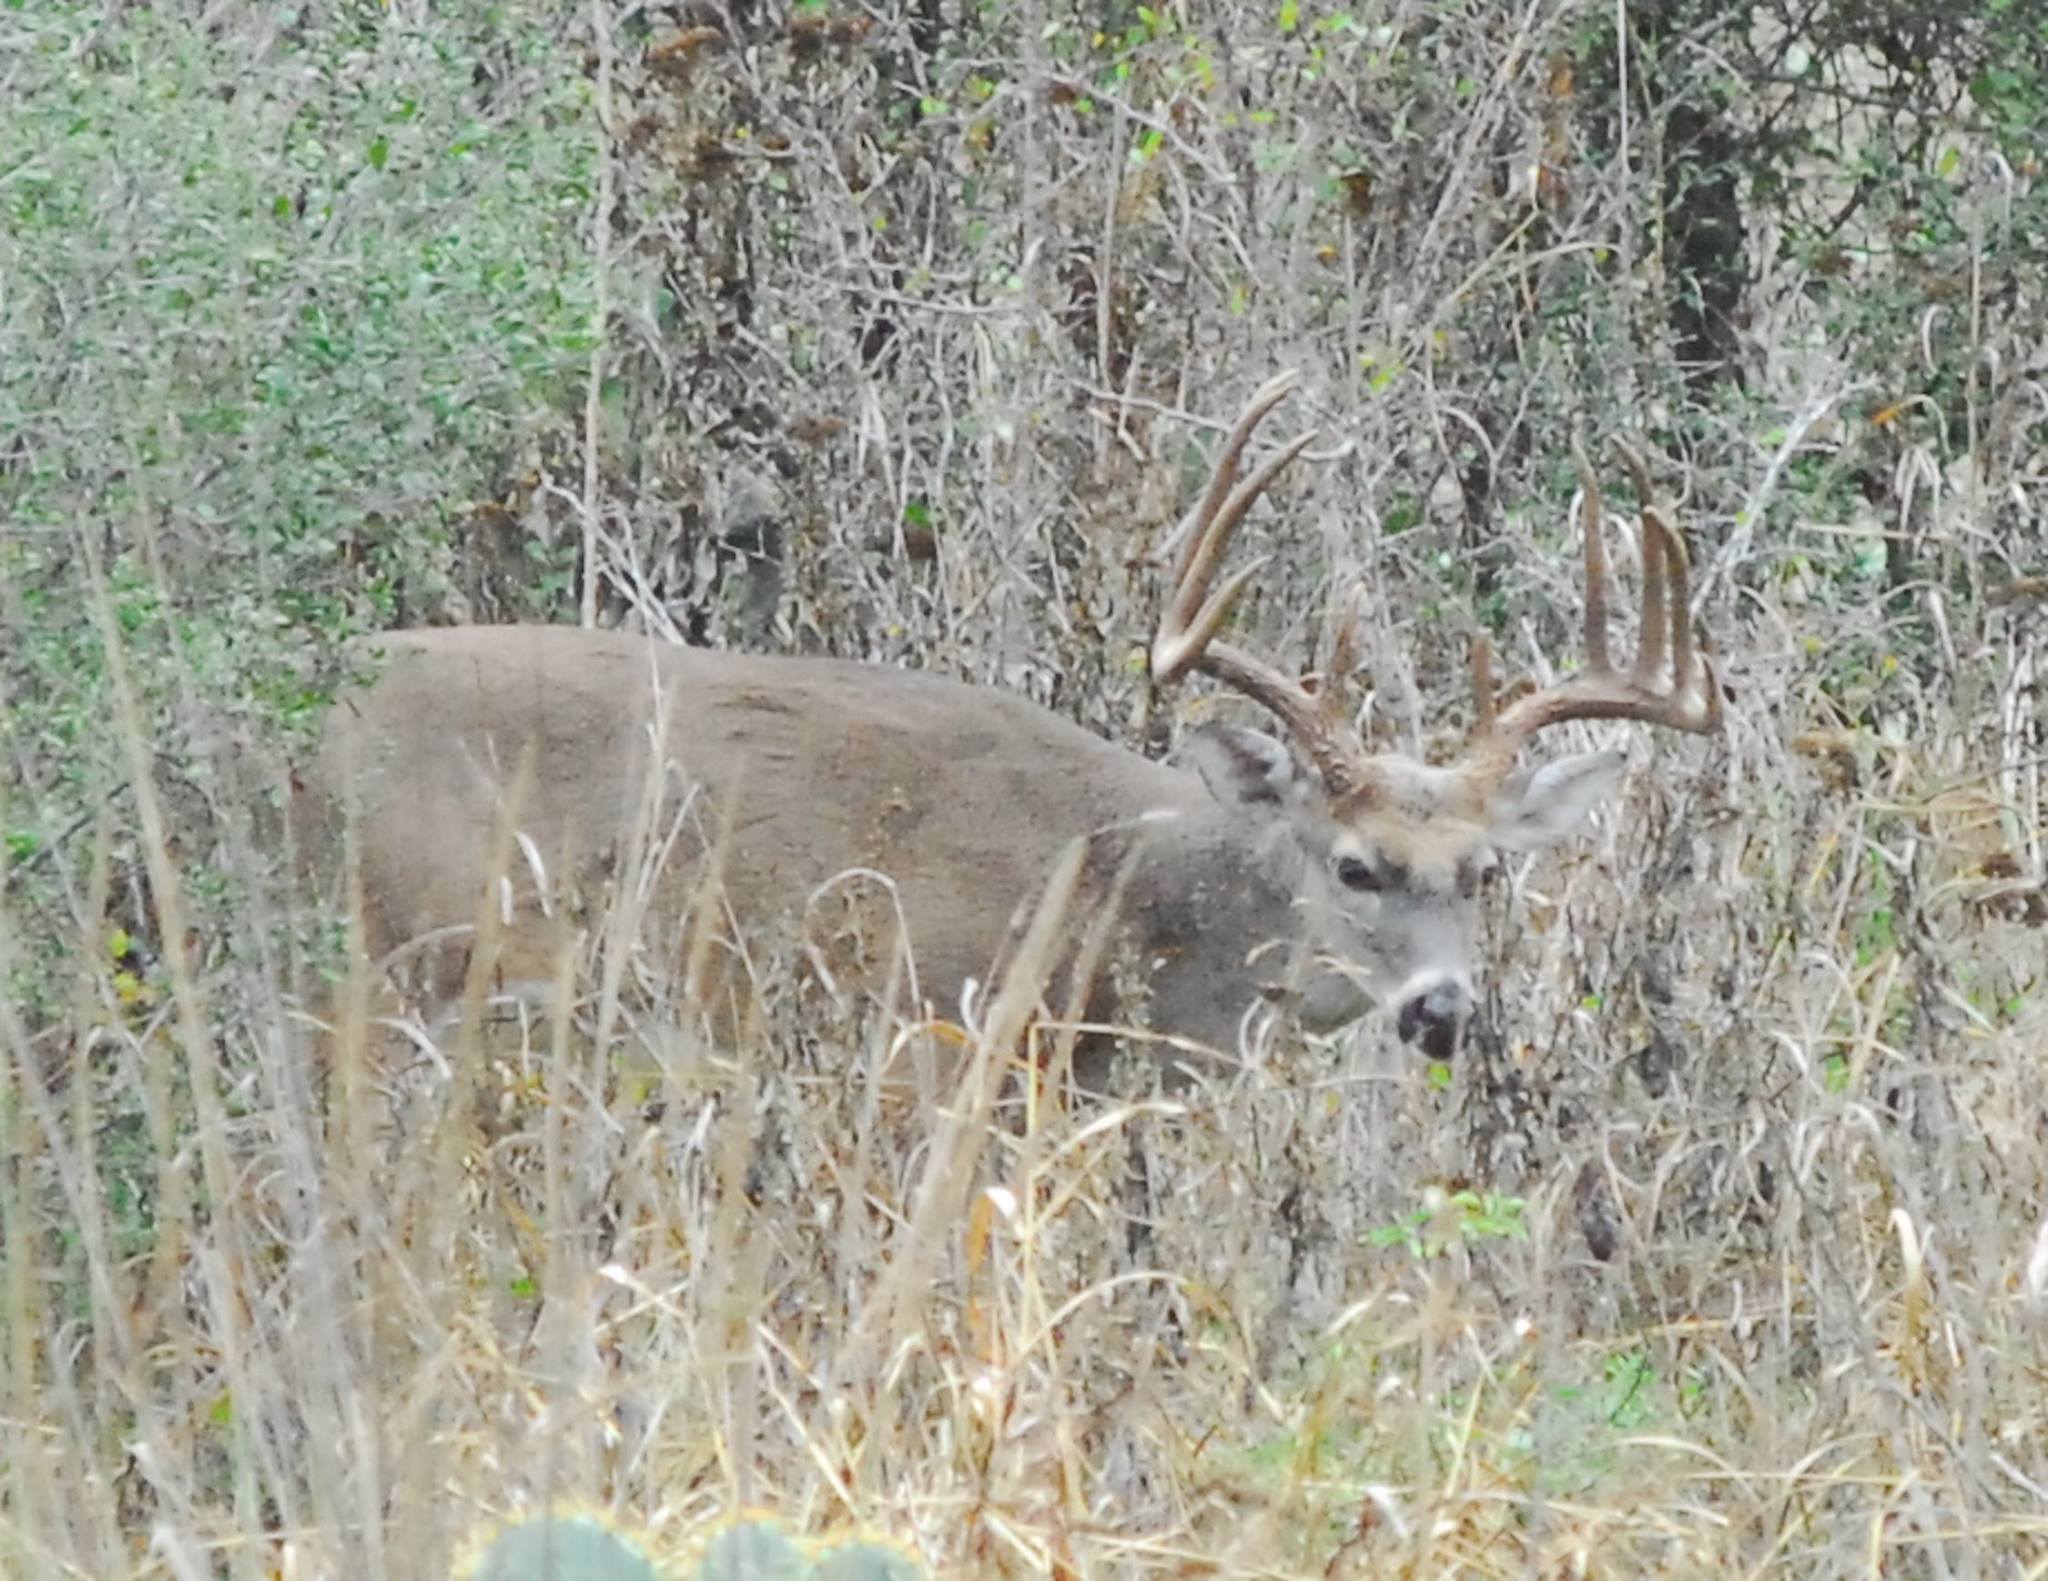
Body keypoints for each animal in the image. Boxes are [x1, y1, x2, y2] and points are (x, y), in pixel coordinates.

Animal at [297, 371, 1719, 1086]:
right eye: (1356, 865)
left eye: (1484, 874)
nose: (1441, 1014)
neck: (1120, 899)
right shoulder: (922, 1031)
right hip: (403, 960)